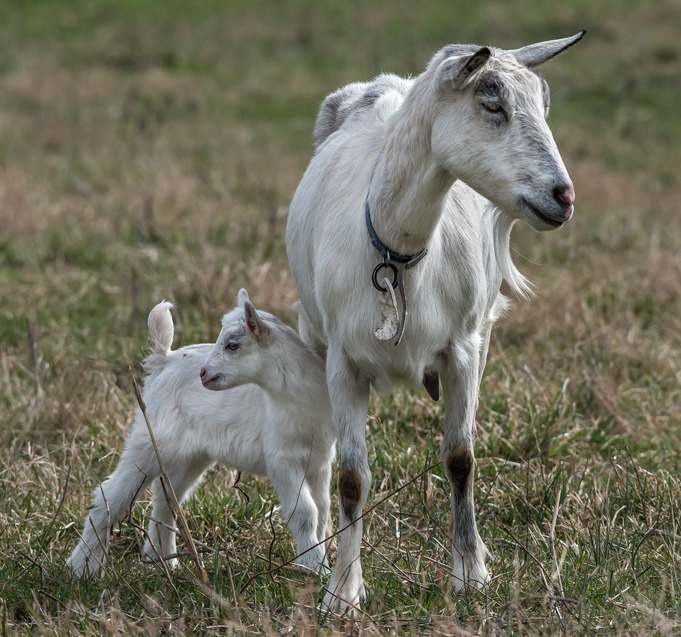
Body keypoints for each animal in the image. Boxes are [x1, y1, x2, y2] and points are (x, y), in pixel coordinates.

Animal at [67, 290, 335, 578]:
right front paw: (315, 568)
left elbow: (322, 509)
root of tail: (164, 359)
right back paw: (81, 567)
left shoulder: (319, 461)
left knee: (168, 498)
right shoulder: (281, 459)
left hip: (190, 456)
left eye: (232, 345)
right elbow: (305, 512)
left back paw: (162, 561)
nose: (203, 373)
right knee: (110, 493)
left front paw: (316, 560)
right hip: (150, 441)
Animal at [286, 32, 585, 610]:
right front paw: (342, 592)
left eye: (544, 103)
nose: (564, 196)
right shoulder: (342, 359)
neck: (397, 253)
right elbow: (351, 477)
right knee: (323, 454)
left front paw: (470, 575)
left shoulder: (462, 349)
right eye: (491, 105)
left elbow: (460, 458)